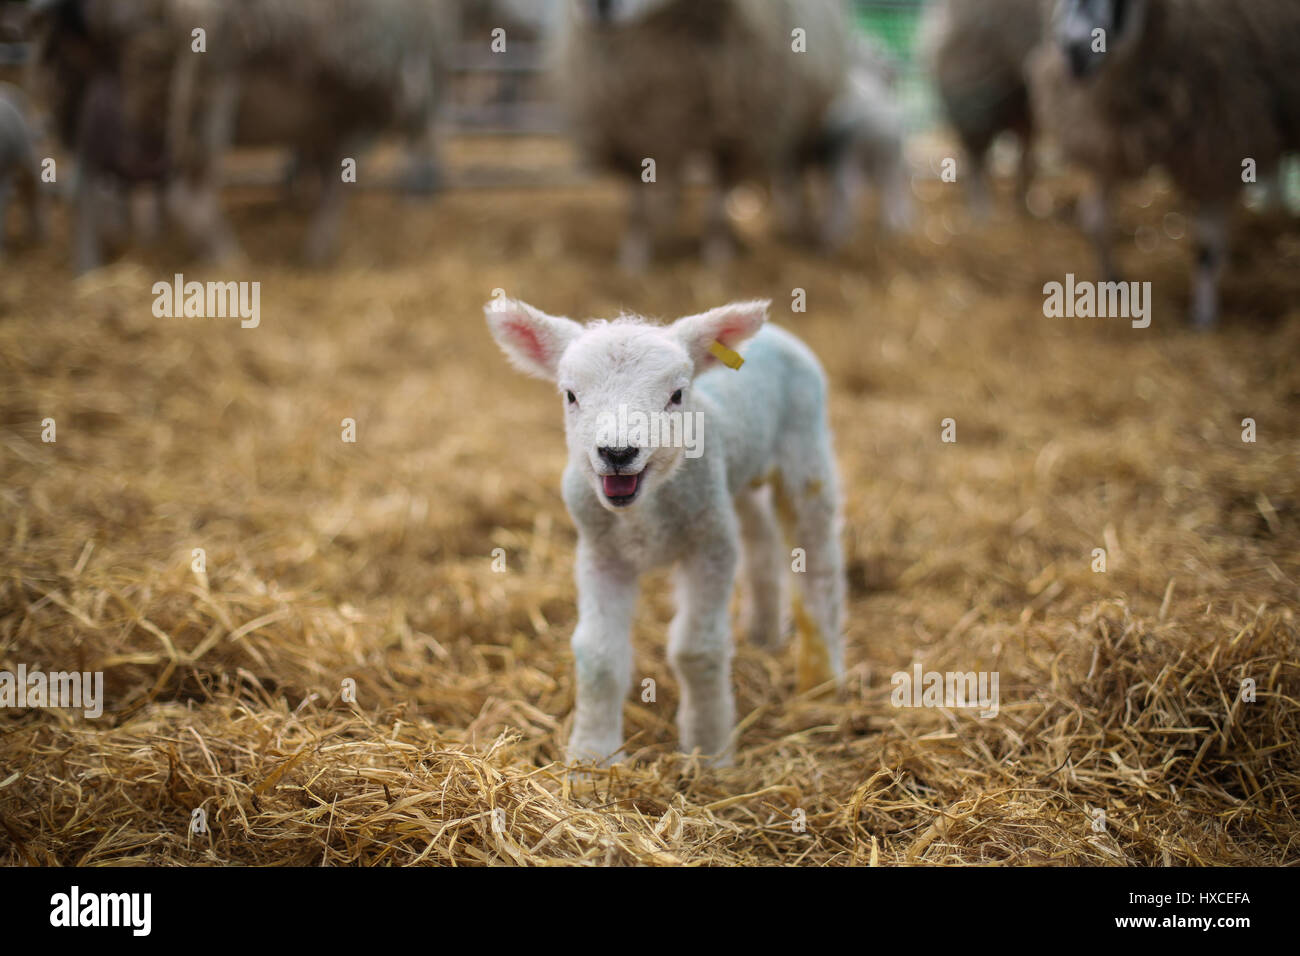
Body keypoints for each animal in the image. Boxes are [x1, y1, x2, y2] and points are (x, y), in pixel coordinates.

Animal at [29, 0, 451, 271]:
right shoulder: (368, 102)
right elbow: (339, 183)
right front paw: (319, 249)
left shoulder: (329, 117)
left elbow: (325, 173)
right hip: (198, 77)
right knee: (186, 195)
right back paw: (230, 262)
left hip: (87, 83)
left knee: (85, 181)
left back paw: (88, 271)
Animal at [485, 297, 845, 766]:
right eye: (570, 395)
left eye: (677, 395)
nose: (618, 452)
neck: (645, 511)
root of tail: (775, 332)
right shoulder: (600, 553)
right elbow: (598, 655)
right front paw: (591, 760)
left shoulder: (710, 545)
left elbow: (697, 649)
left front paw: (709, 753)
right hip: (736, 478)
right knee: (760, 538)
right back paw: (764, 632)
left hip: (805, 451)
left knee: (819, 562)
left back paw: (823, 682)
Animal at [557, 0, 851, 270]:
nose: (596, 6)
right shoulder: (625, 134)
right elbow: (636, 208)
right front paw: (634, 258)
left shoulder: (736, 139)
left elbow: (716, 208)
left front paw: (716, 258)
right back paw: (667, 222)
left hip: (802, 124)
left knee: (792, 175)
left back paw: (798, 225)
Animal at [1027, 0, 1300, 328]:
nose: (1075, 50)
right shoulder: (1106, 139)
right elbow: (1095, 221)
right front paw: (1111, 284)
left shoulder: (1219, 146)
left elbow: (1205, 247)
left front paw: (1203, 319)